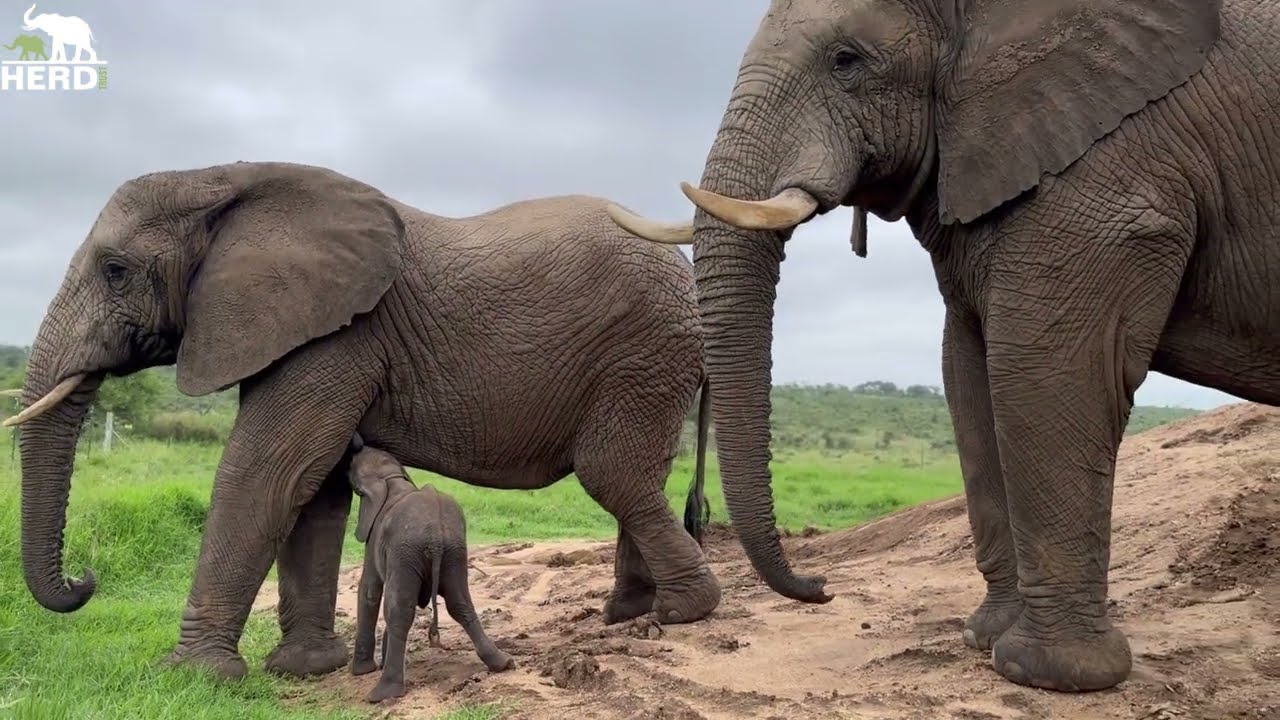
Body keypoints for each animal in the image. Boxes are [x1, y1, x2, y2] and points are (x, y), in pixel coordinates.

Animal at [348, 437, 513, 704]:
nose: (356, 443)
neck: (391, 476)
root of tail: (435, 536)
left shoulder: (374, 539)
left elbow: (370, 590)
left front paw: (362, 671)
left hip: (407, 551)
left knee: (398, 610)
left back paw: (382, 694)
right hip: (455, 551)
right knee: (460, 604)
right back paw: (502, 663)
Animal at [606, 0, 1280, 694]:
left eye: (846, 62)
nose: (821, 586)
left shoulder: (1116, 173)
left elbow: (1045, 371)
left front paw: (1047, 674)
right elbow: (967, 374)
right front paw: (984, 638)